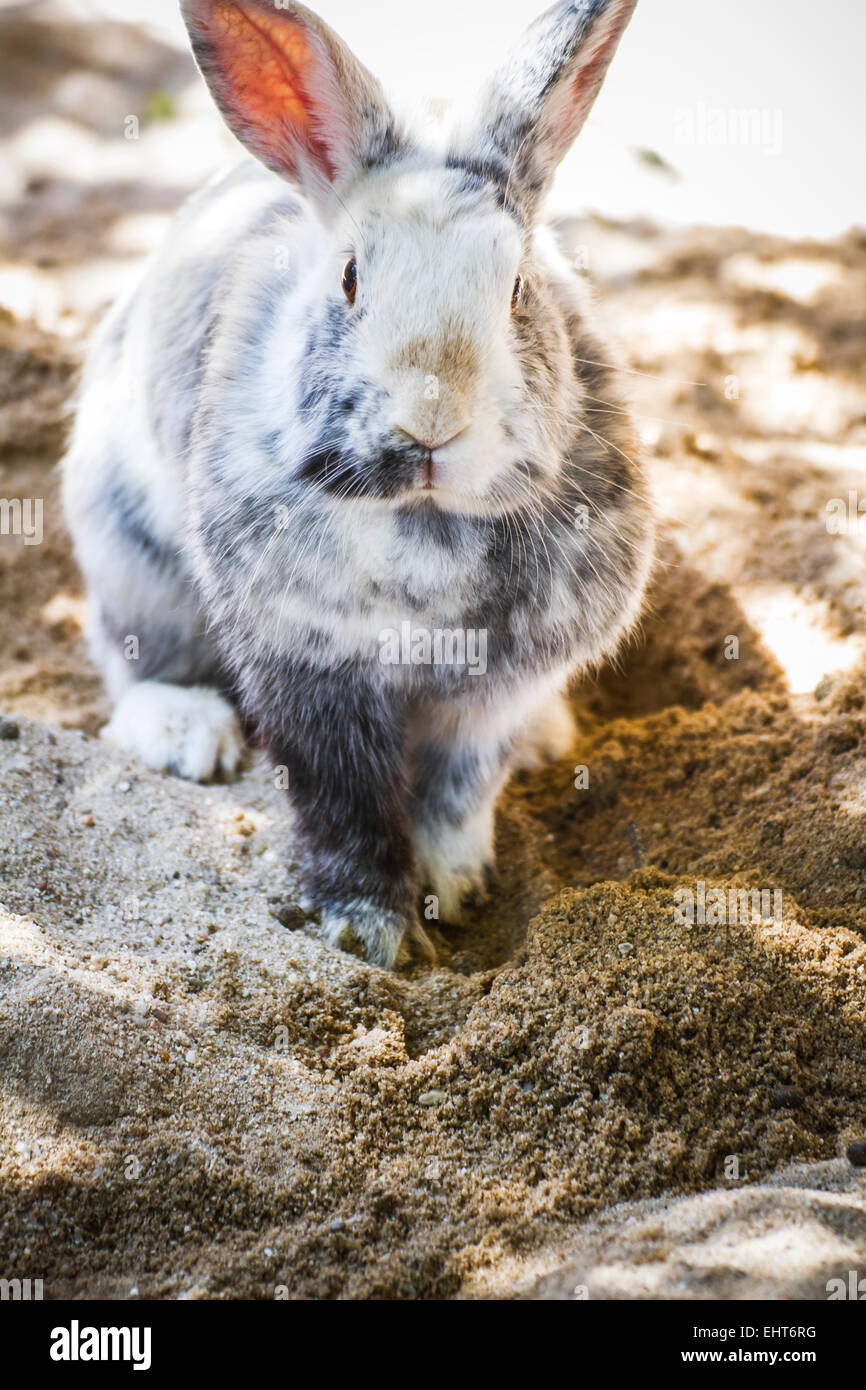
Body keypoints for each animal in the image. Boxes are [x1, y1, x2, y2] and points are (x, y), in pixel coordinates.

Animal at [62, 0, 654, 969]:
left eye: (518, 287)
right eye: (348, 278)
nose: (430, 421)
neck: (423, 517)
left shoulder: (497, 687)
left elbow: (458, 792)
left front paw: (457, 891)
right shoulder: (307, 666)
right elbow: (343, 799)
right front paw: (369, 931)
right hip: (126, 550)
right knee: (131, 659)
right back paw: (186, 733)